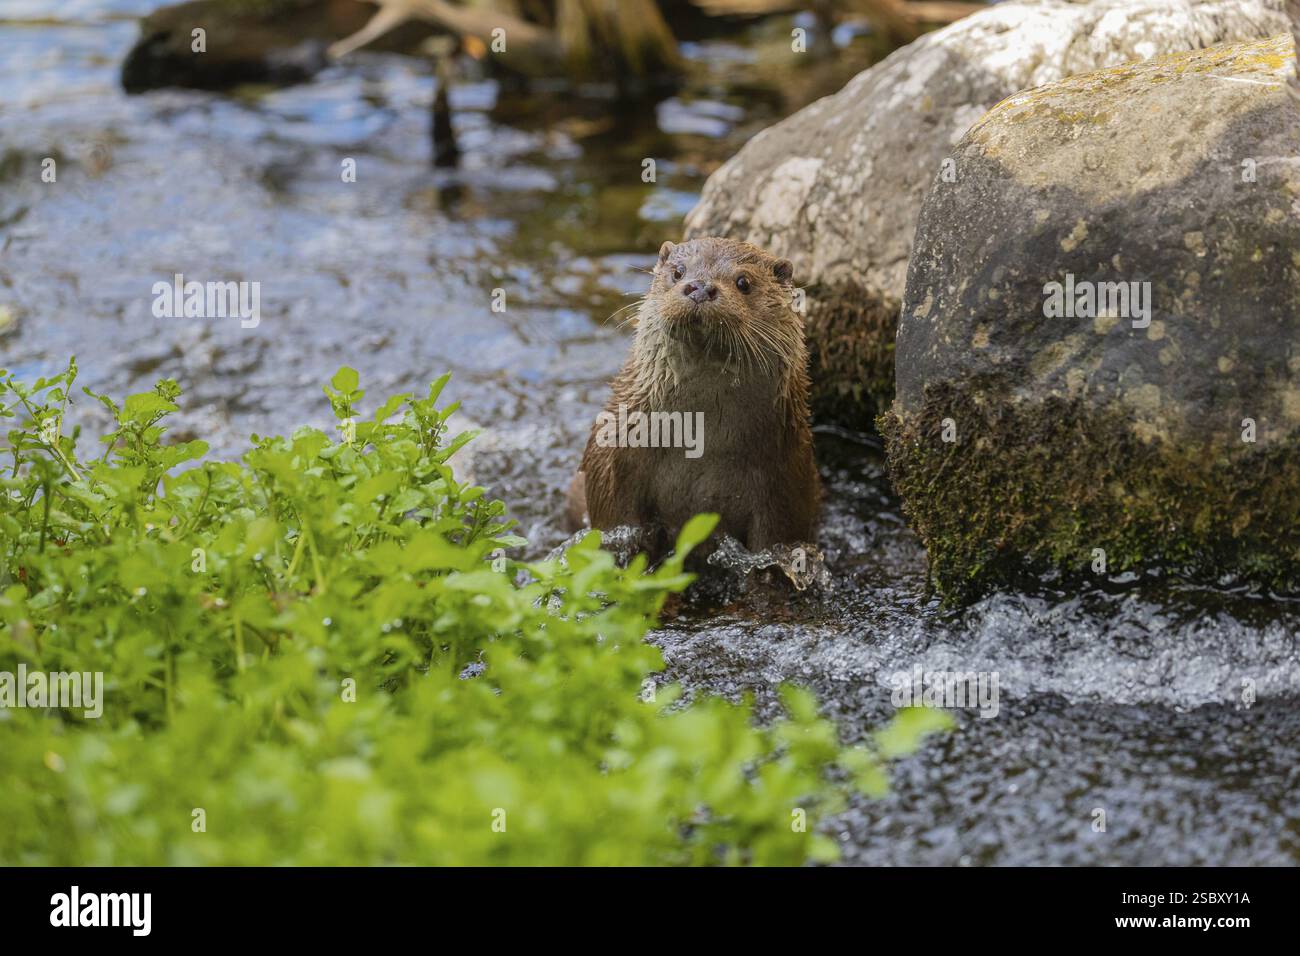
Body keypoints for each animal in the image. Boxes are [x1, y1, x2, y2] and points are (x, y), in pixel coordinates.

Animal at [566, 236, 820, 560]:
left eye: (743, 282)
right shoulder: (611, 463)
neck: (699, 438)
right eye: (678, 272)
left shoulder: (787, 483)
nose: (700, 286)